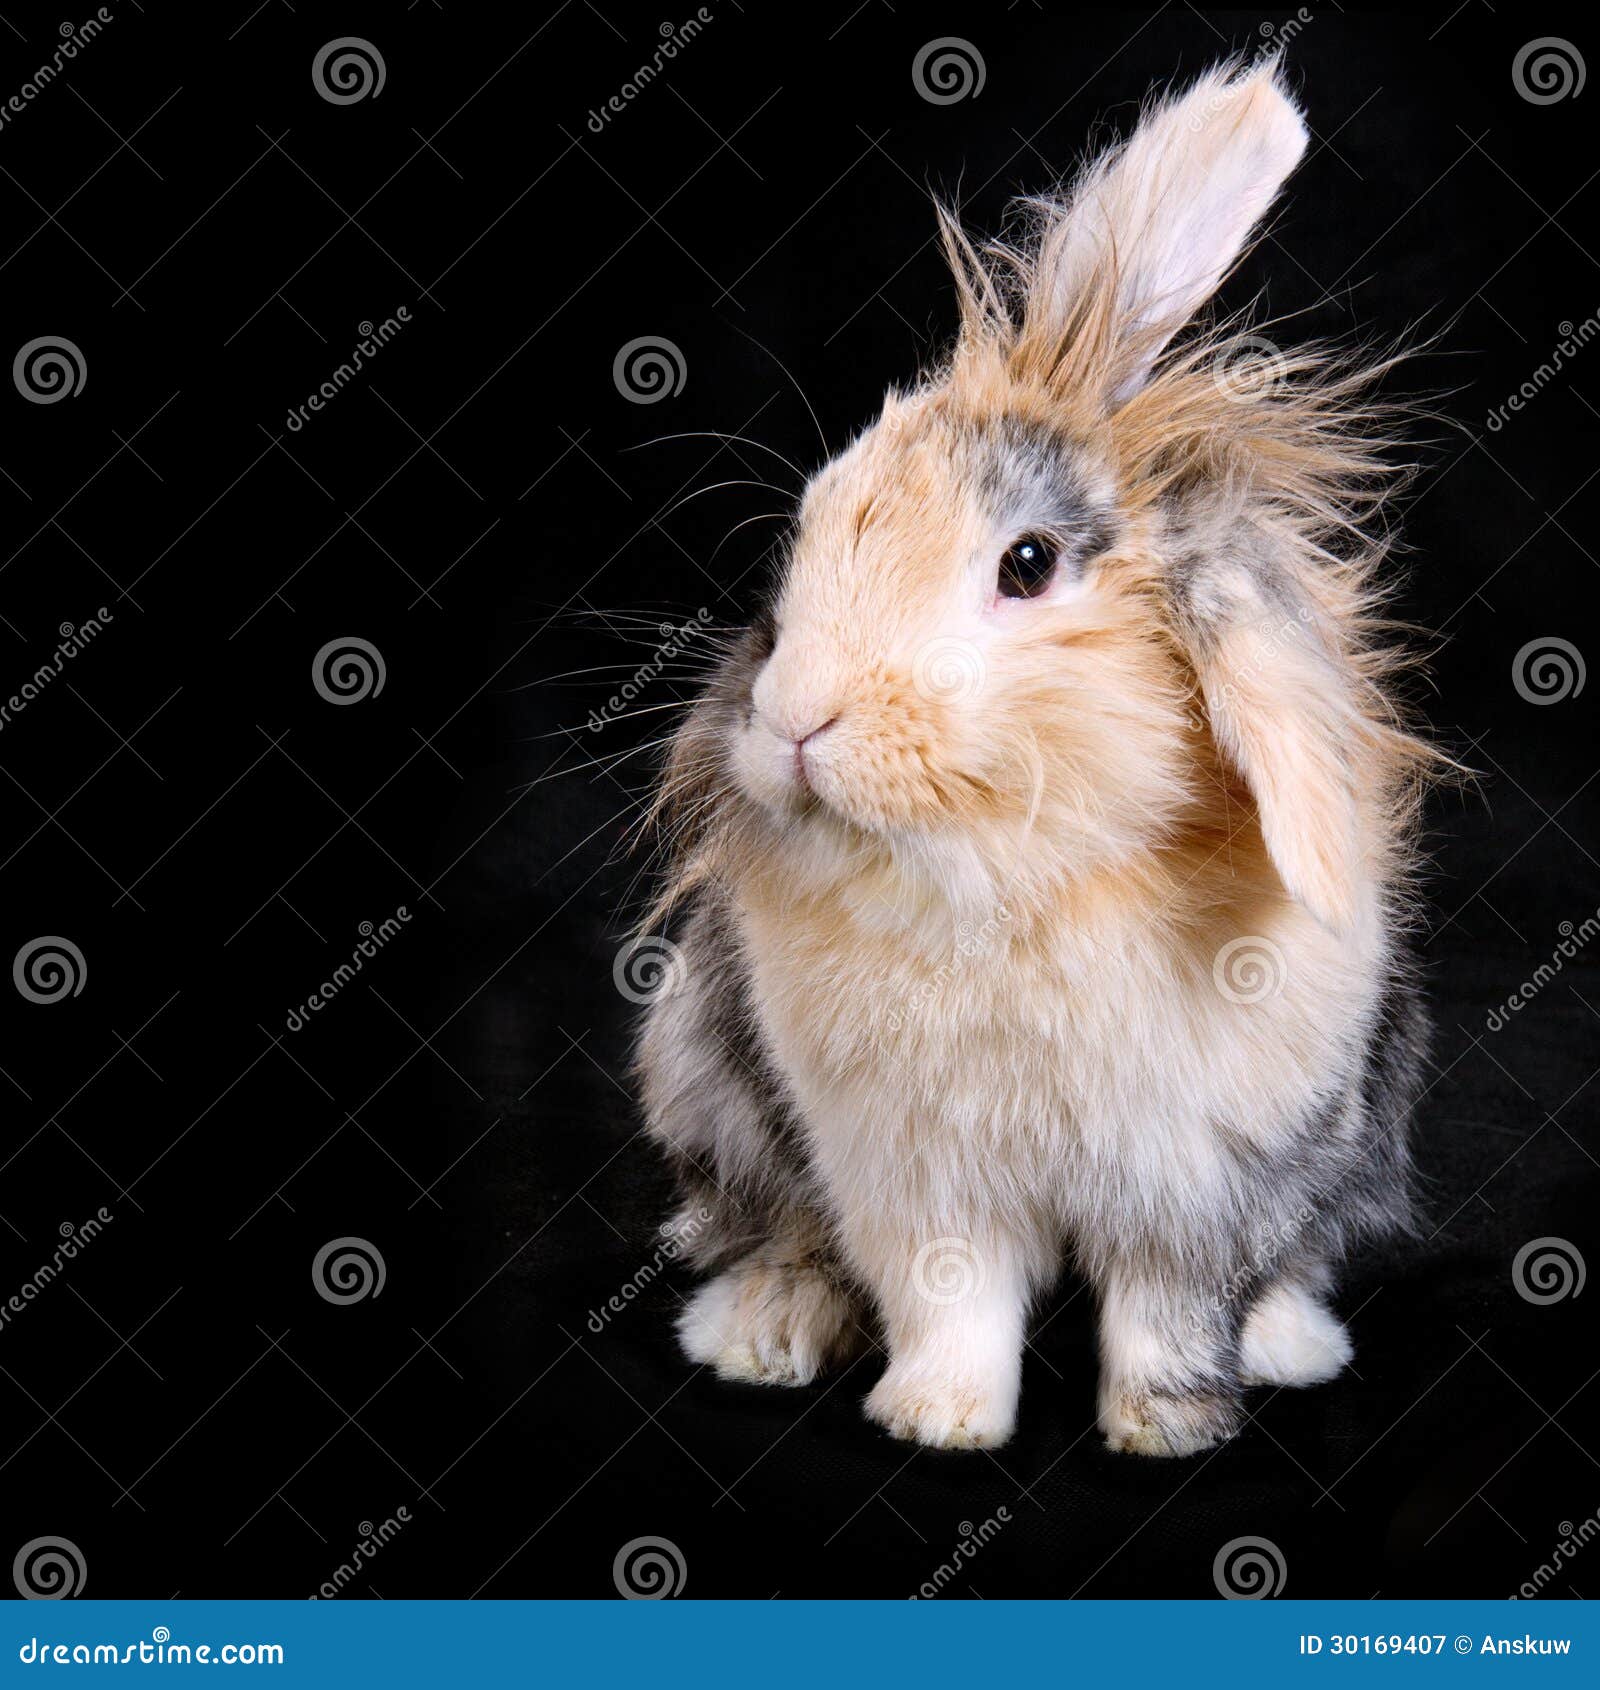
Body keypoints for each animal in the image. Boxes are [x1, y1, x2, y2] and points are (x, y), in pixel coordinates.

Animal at [631, 58, 1437, 1455]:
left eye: (1027, 564)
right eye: (802, 541)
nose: (795, 722)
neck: (1013, 874)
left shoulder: (1200, 1177)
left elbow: (1167, 1312)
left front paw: (1165, 1430)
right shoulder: (913, 1179)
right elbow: (950, 1300)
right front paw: (933, 1422)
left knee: (1292, 1260)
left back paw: (1292, 1347)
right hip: (700, 1068)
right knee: (776, 1226)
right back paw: (762, 1330)